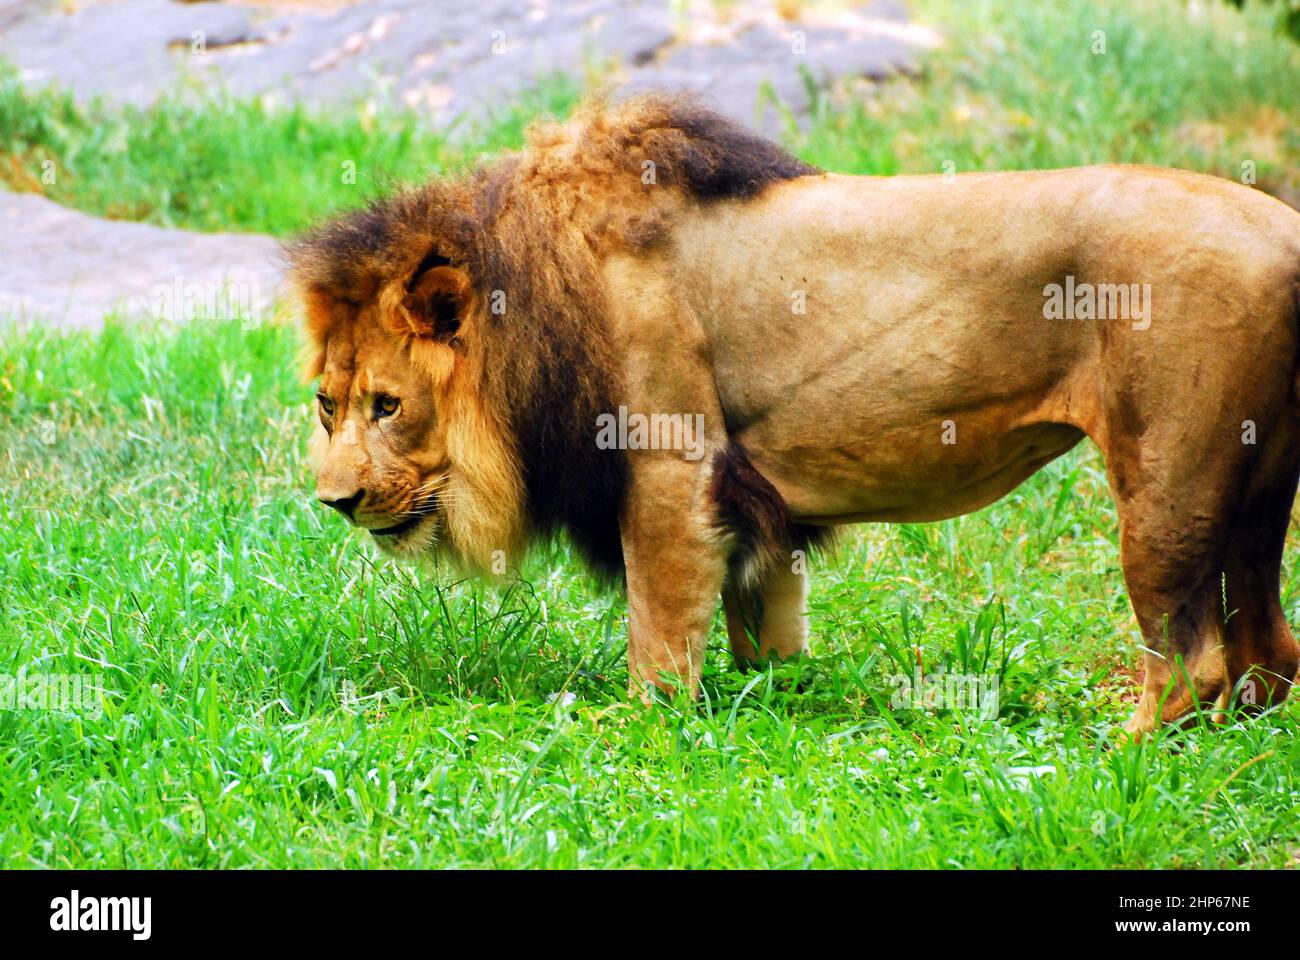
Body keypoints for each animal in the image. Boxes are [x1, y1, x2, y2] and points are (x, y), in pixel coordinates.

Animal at [287, 94, 1300, 736]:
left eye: (388, 406)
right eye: (327, 405)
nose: (334, 502)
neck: (533, 294)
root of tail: (1282, 233)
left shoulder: (669, 464)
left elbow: (660, 621)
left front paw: (642, 722)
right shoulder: (745, 498)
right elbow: (761, 615)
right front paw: (776, 694)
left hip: (1166, 488)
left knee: (1193, 660)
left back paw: (1114, 754)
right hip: (1256, 496)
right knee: (1269, 649)